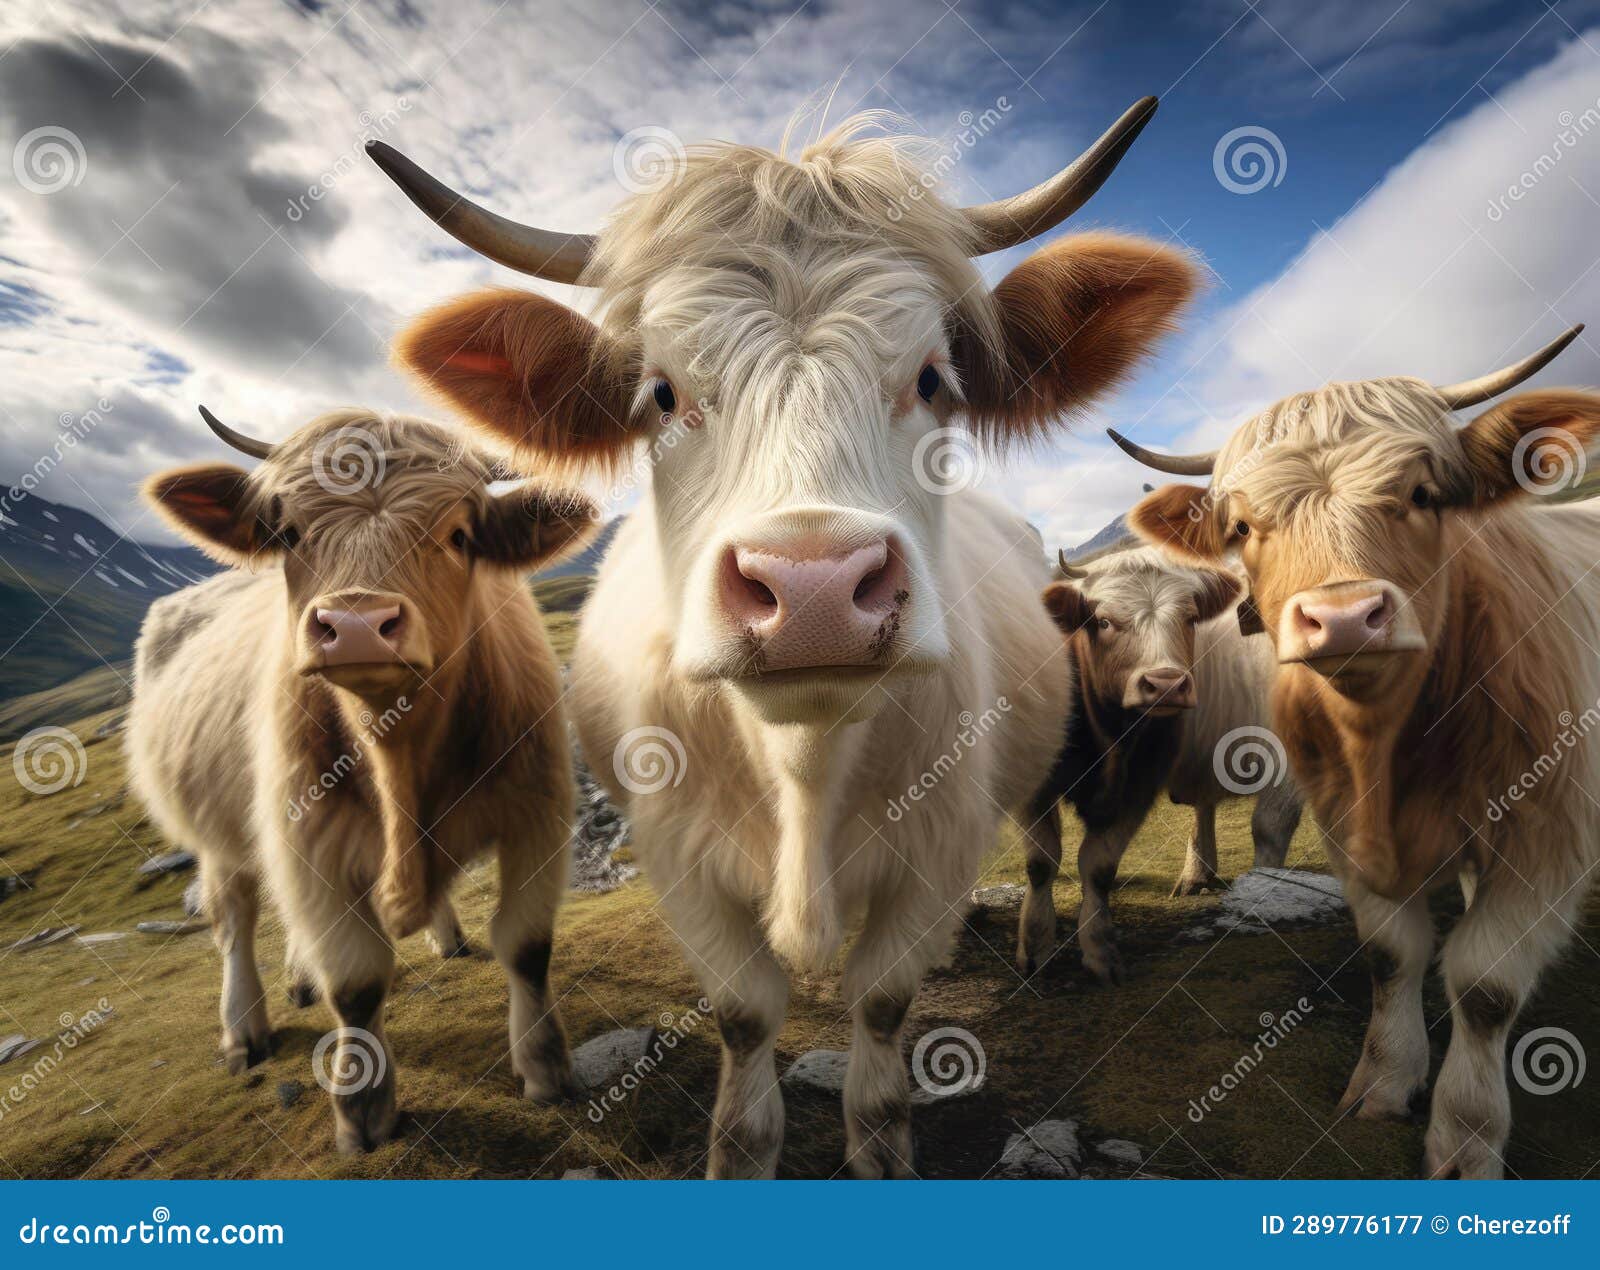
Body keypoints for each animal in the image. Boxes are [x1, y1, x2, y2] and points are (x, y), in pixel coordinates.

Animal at [127, 407, 594, 1153]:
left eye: (459, 534)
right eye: (288, 533)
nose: (354, 625)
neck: (397, 754)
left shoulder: (536, 813)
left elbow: (526, 946)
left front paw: (547, 1070)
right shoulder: (307, 837)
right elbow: (355, 983)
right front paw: (363, 1109)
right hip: (217, 833)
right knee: (234, 918)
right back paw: (244, 1030)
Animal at [369, 98, 1197, 1177]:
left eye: (932, 378)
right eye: (663, 394)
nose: (812, 589)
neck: (805, 758)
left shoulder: (938, 852)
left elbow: (882, 1010)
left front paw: (881, 1148)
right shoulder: (680, 856)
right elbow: (743, 1019)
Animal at [1020, 546, 1303, 982]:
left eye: (1189, 618)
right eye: (1104, 621)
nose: (1167, 683)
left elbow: (1098, 867)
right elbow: (1041, 863)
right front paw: (1035, 948)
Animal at [1116, 325, 1599, 1178]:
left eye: (1425, 495)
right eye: (1242, 529)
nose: (1343, 619)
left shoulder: (1545, 838)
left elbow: (1485, 986)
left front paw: (1465, 1136)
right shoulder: (1343, 826)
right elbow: (1389, 953)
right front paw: (1385, 1081)